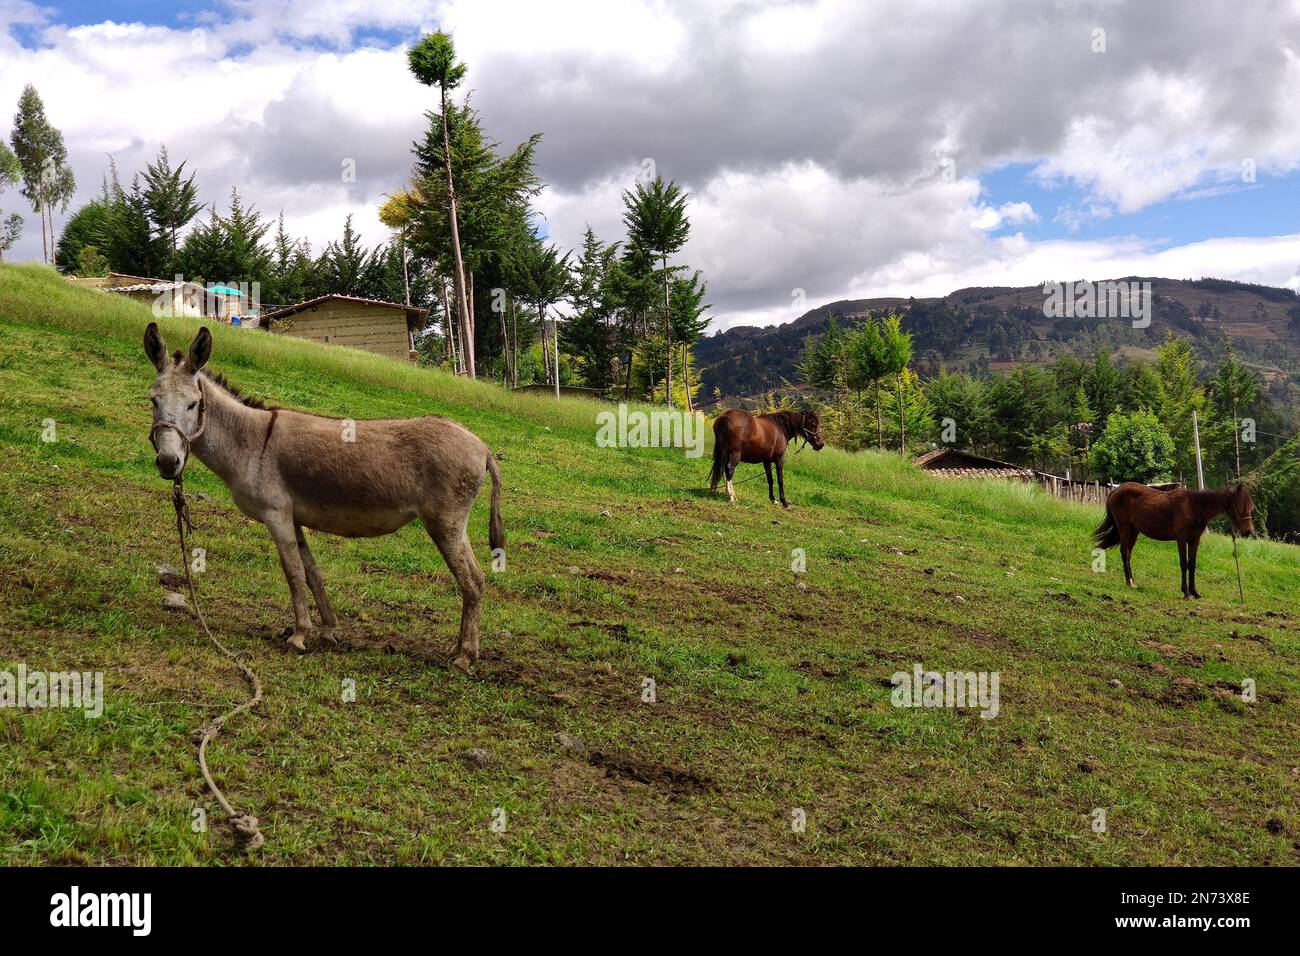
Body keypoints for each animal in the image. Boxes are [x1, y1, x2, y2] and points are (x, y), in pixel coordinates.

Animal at [145, 323, 504, 671]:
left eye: (193, 403)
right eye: (153, 401)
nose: (168, 462)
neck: (251, 442)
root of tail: (481, 446)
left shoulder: (276, 515)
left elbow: (292, 573)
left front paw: (299, 635)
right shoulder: (293, 517)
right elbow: (312, 571)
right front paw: (329, 630)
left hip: (445, 522)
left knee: (472, 581)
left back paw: (465, 656)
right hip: (454, 524)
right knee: (476, 578)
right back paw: (456, 648)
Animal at [1092, 481, 1254, 598]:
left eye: (1250, 508)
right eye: (1240, 507)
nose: (1248, 531)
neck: (1195, 507)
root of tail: (1115, 491)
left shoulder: (1194, 540)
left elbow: (1192, 565)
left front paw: (1195, 592)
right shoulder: (1181, 539)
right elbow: (1184, 564)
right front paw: (1186, 592)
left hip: (1134, 530)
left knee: (1128, 553)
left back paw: (1132, 581)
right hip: (1124, 527)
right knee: (1125, 552)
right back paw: (1130, 582)